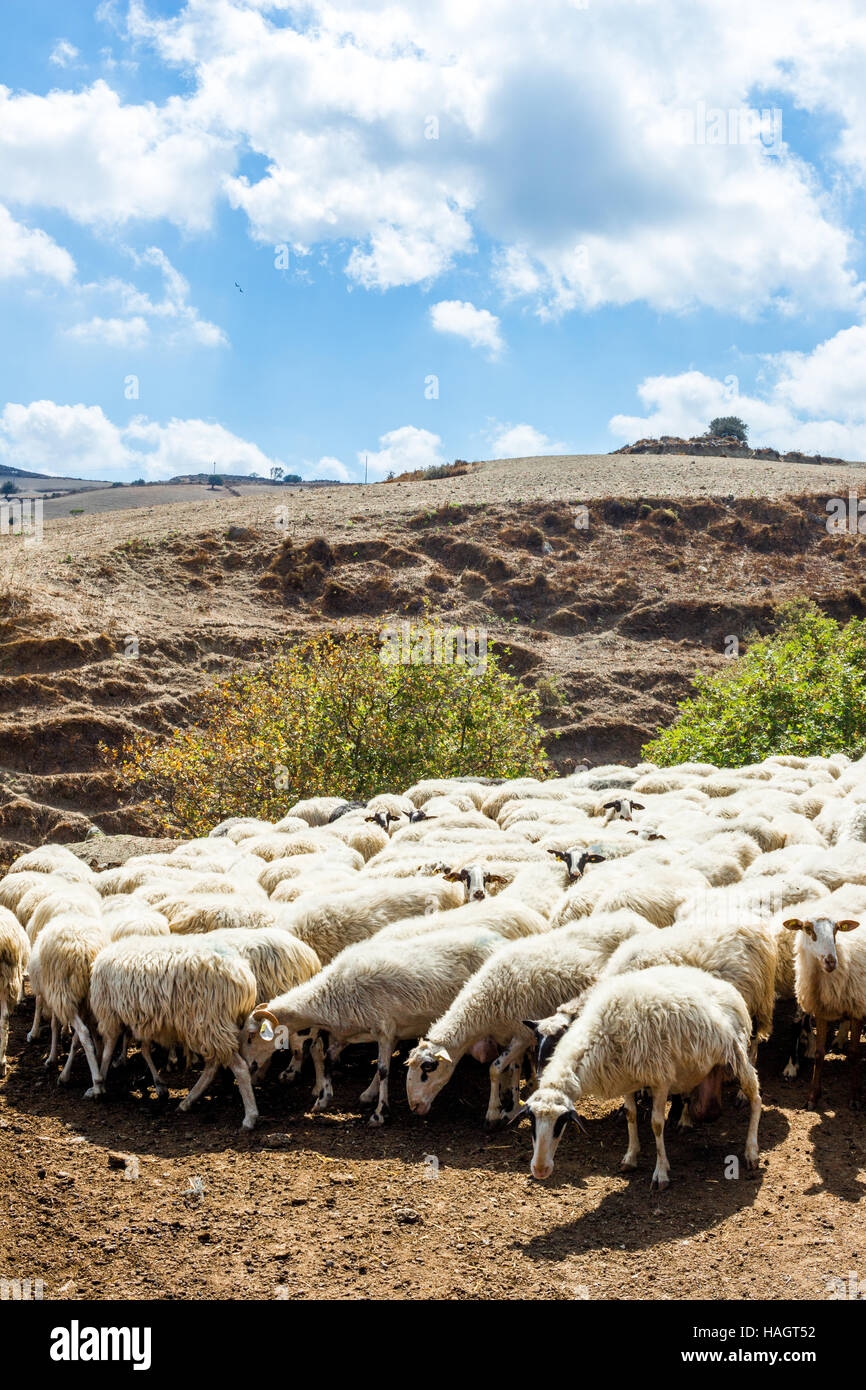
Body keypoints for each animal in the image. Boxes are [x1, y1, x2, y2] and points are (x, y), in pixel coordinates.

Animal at [90, 935, 260, 1127]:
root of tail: (243, 976)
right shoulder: (143, 1020)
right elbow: (145, 1050)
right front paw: (159, 1085)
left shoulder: (110, 1015)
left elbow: (108, 1051)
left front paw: (98, 1085)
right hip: (211, 1027)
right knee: (212, 1066)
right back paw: (188, 1102)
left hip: (209, 1022)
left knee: (239, 1067)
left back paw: (250, 1117)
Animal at [241, 925, 507, 1124]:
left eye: (251, 1036)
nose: (247, 1065)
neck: (330, 994)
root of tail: (500, 940)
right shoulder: (354, 1034)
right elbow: (329, 1059)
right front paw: (324, 1099)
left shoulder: (385, 1030)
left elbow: (383, 1069)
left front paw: (380, 1113)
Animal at [406, 910, 654, 1126]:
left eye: (428, 1070)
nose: (414, 1107)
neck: (486, 1001)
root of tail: (637, 919)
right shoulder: (513, 1035)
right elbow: (513, 1069)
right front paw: (512, 1108)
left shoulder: (522, 1034)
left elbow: (494, 1068)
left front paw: (492, 1113)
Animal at [519, 965, 761, 1187]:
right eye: (531, 1120)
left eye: (561, 1123)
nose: (539, 1170)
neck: (601, 1035)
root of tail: (727, 988)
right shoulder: (626, 1080)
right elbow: (631, 1115)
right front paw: (631, 1157)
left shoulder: (661, 1080)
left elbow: (656, 1124)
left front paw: (661, 1172)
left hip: (738, 1053)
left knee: (756, 1098)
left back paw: (751, 1151)